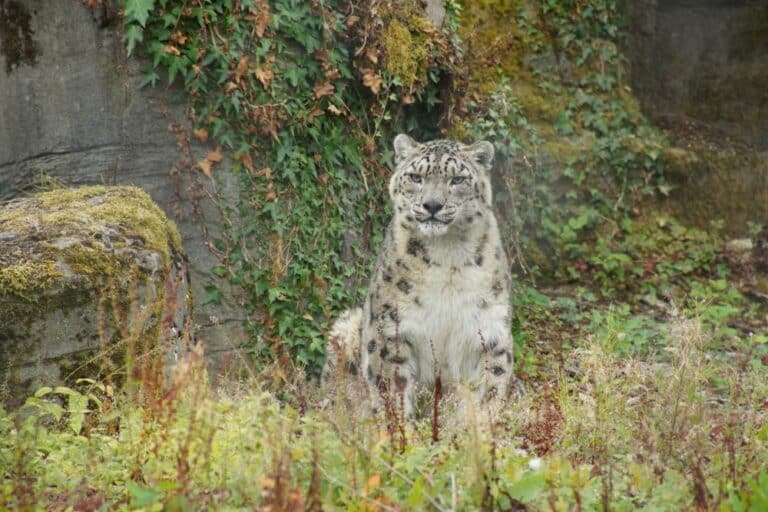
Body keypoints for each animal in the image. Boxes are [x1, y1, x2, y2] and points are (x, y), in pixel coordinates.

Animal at [322, 134, 514, 417]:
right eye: (415, 177)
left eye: (457, 179)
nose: (432, 205)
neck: (448, 255)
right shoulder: (391, 332)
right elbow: (393, 390)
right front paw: (402, 427)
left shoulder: (490, 331)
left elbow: (487, 392)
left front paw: (477, 426)